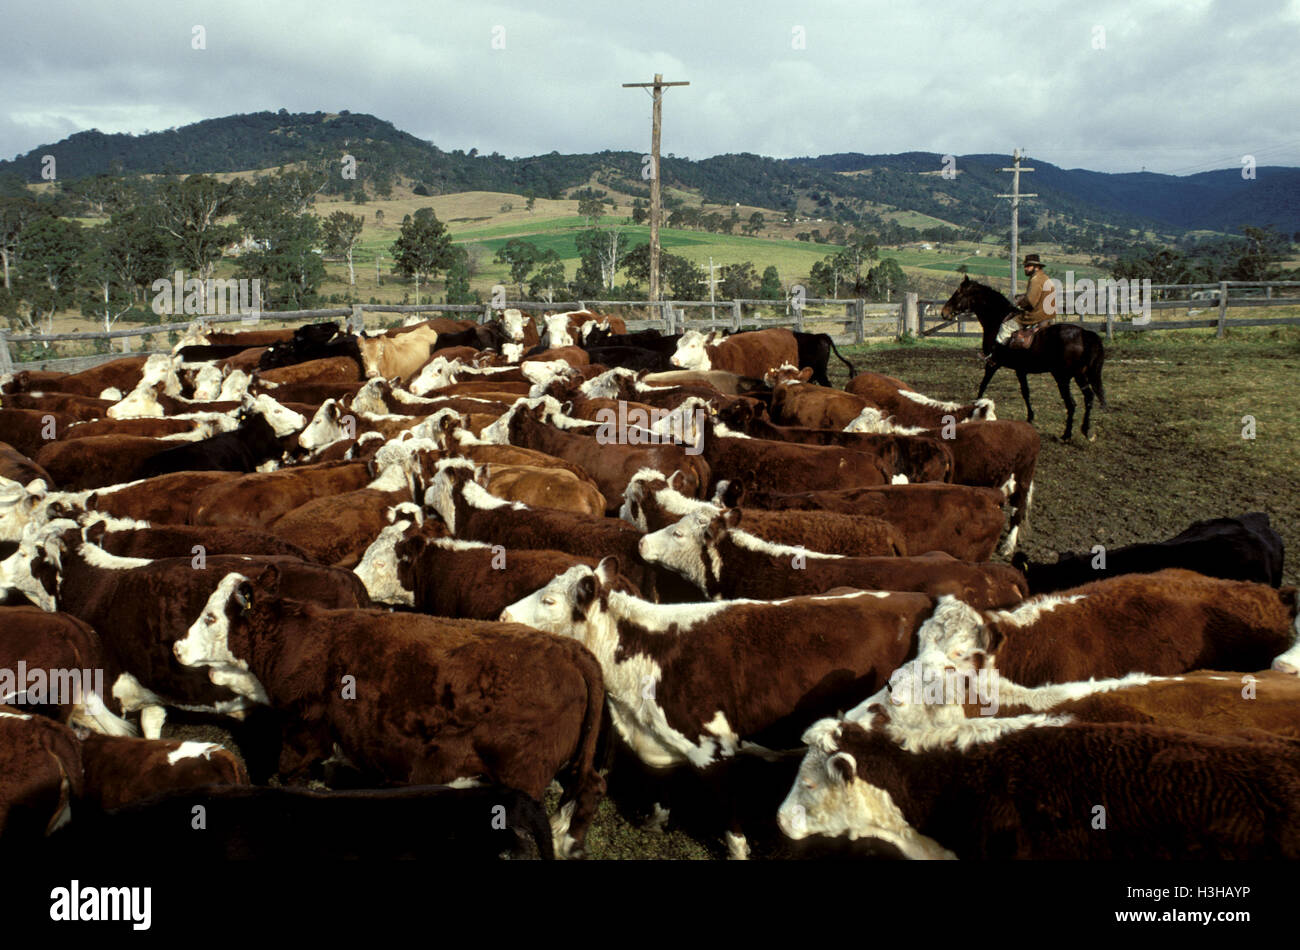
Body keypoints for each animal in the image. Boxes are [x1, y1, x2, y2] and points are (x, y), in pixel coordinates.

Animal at [174, 567, 608, 857]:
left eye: (210, 617)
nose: (177, 648)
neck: (300, 643)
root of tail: (569, 649)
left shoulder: (302, 734)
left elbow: (289, 776)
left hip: (521, 776)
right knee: (590, 789)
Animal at [498, 559, 935, 858]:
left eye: (549, 600)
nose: (502, 615)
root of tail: (920, 597)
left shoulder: (713, 750)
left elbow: (727, 811)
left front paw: (739, 850)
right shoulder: (661, 740)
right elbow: (661, 787)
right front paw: (656, 821)